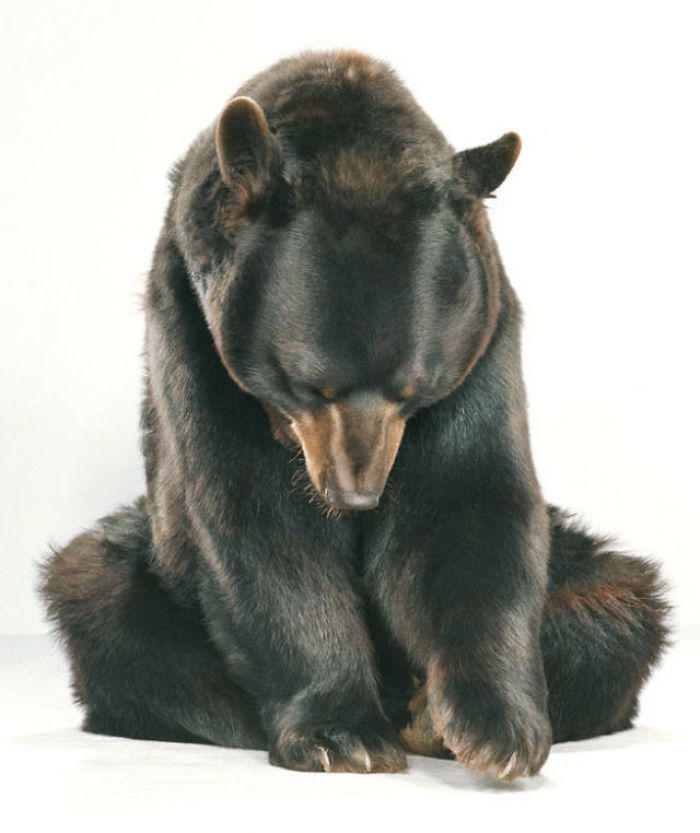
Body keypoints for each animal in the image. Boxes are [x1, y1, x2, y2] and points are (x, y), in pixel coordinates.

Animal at [40, 50, 669, 780]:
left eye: (414, 390)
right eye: (311, 386)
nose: (357, 493)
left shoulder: (485, 334)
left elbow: (466, 503)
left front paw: (496, 727)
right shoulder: (192, 336)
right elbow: (251, 519)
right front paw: (341, 733)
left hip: (585, 566)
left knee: (616, 612)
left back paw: (422, 714)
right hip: (128, 569)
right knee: (105, 606)